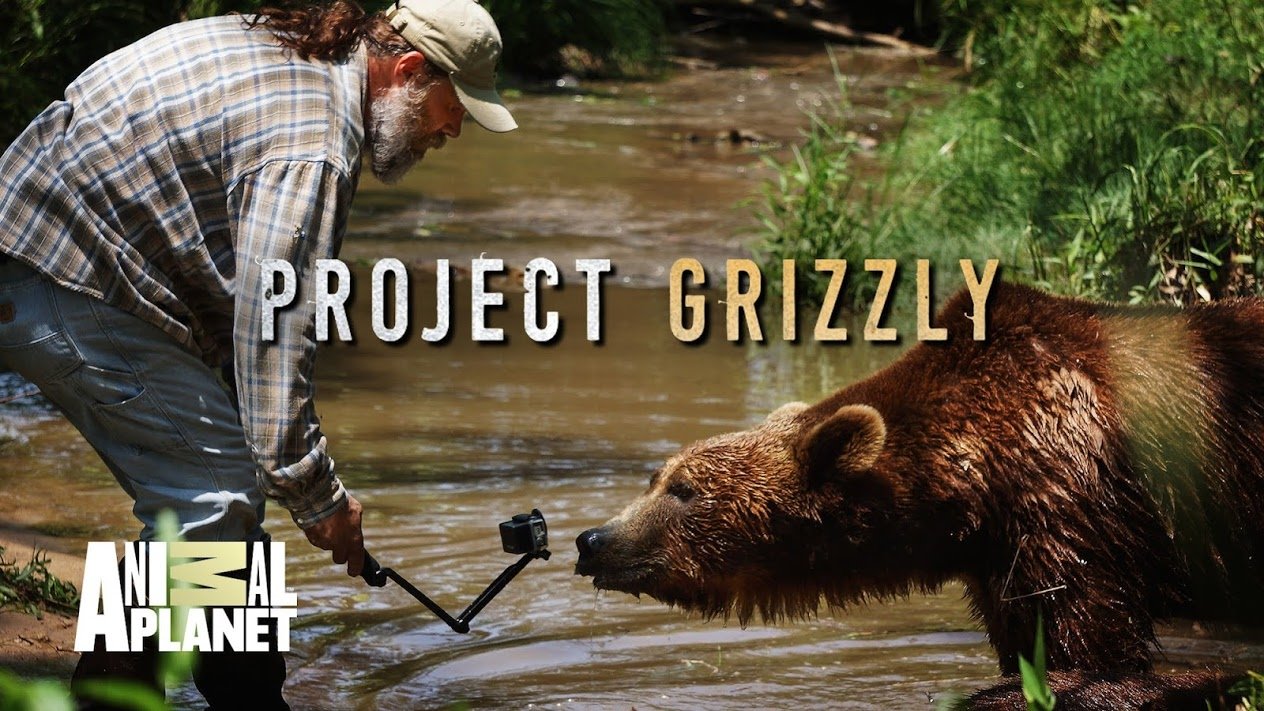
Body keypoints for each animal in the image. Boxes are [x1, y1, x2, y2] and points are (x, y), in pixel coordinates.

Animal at [574, 281, 1264, 709]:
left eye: (683, 489)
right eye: (660, 478)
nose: (592, 540)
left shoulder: (1073, 502)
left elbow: (1088, 647)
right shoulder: (1002, 554)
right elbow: (1027, 643)